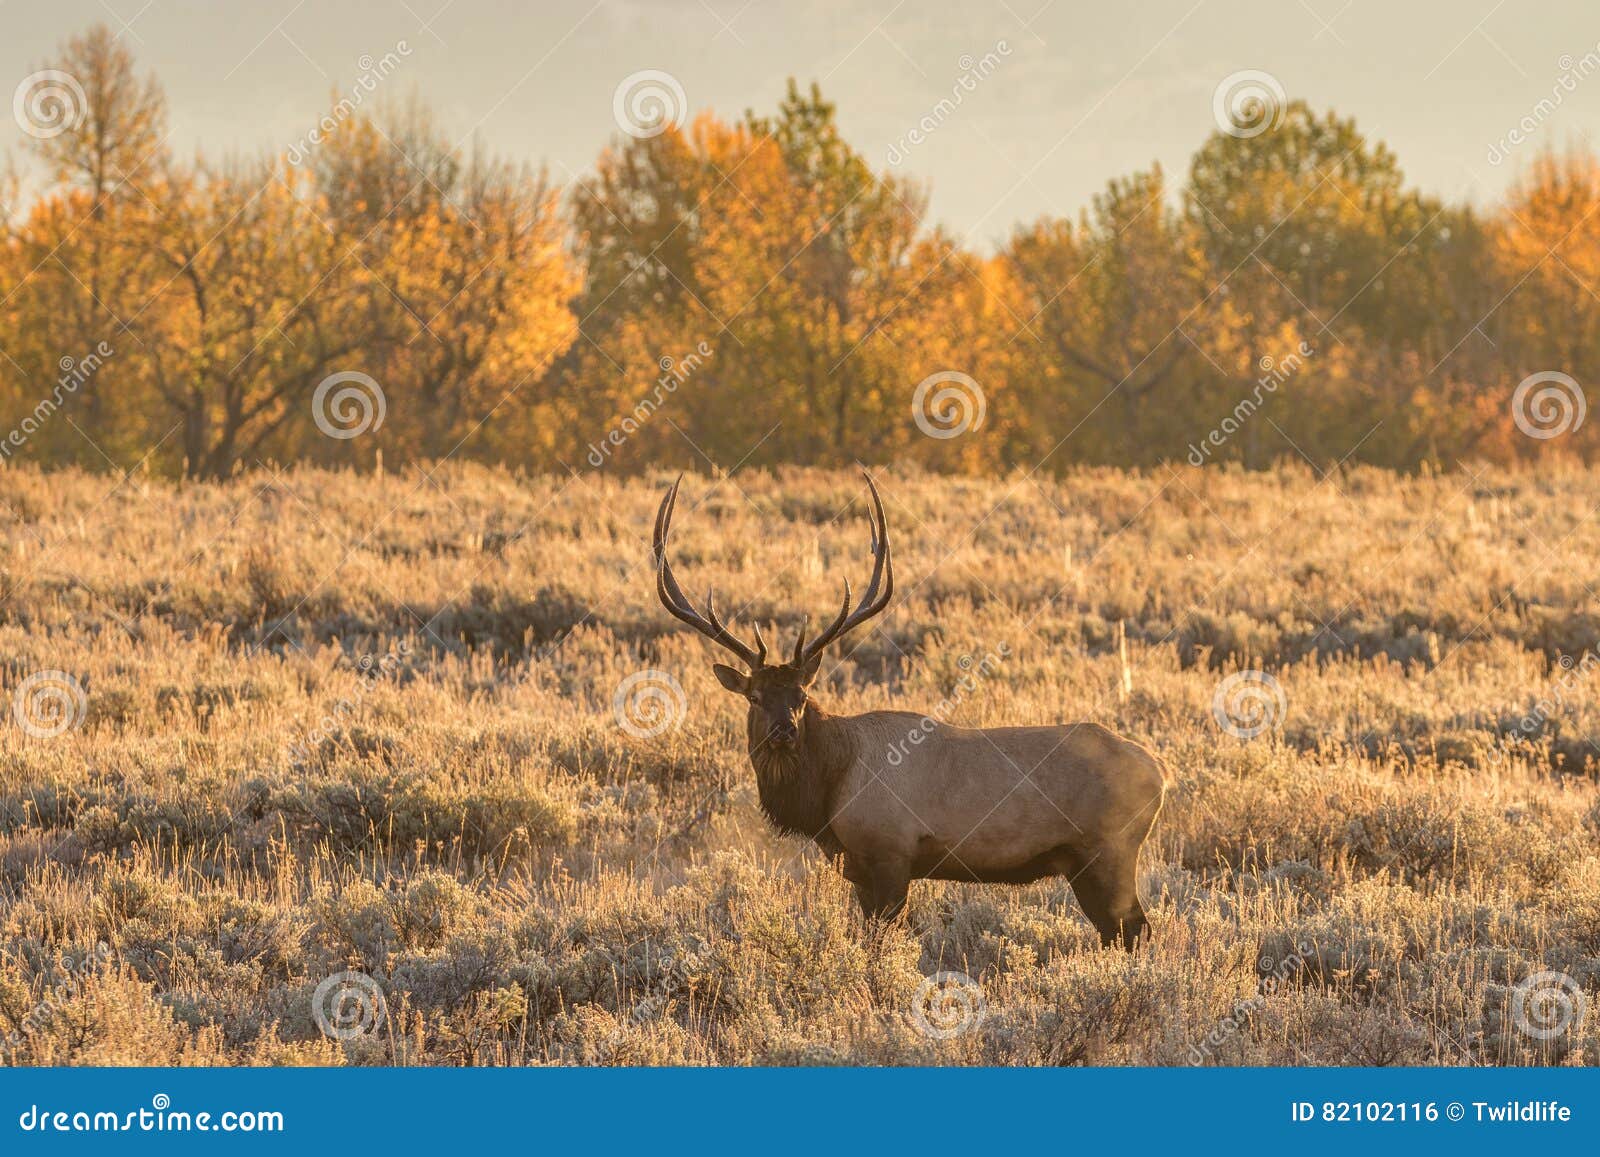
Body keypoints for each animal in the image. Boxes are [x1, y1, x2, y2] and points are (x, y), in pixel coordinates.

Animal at [651, 473, 1166, 949]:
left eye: (802, 695)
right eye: (755, 697)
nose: (783, 731)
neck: (830, 792)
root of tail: (1161, 772)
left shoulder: (891, 854)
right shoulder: (858, 869)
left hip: (1109, 852)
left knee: (1135, 929)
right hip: (1088, 862)